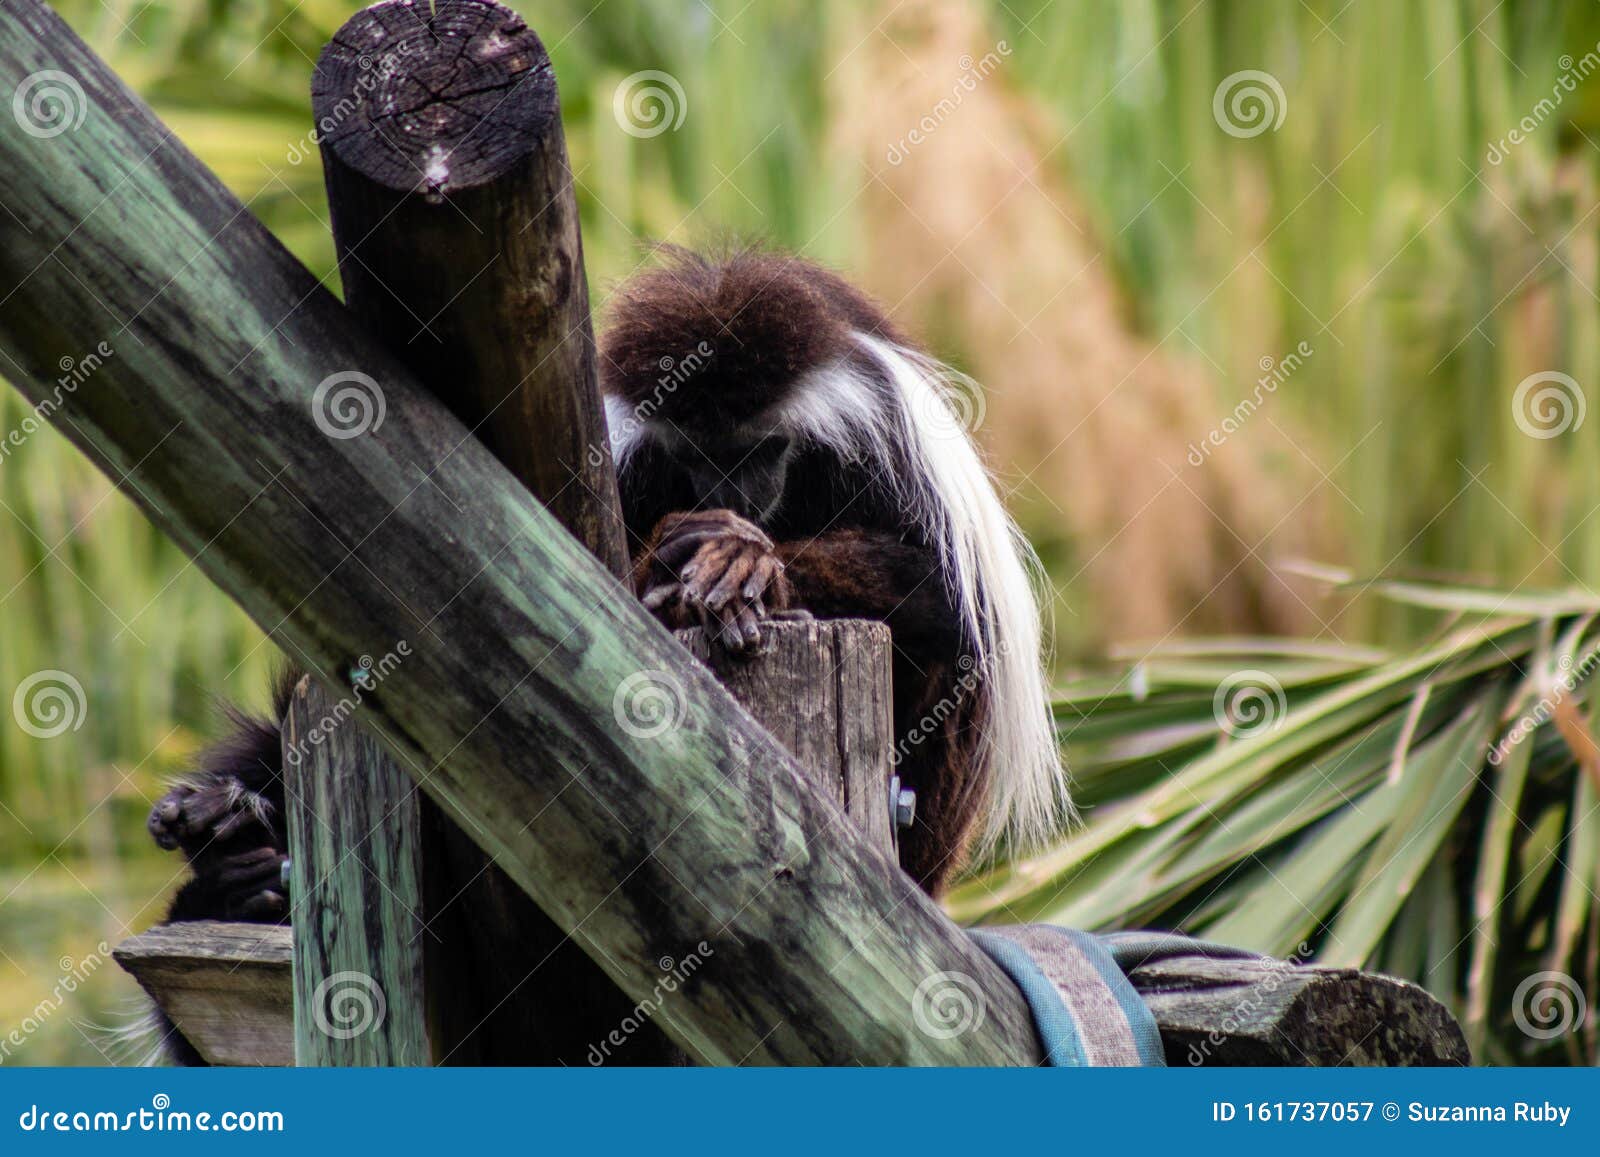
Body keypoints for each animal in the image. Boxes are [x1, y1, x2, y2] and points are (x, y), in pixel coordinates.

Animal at [140, 247, 1069, 1060]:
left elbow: (945, 597)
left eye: (761, 451)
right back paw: (223, 846)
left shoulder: (886, 441)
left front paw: (747, 560)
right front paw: (683, 554)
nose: (735, 494)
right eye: (700, 457)